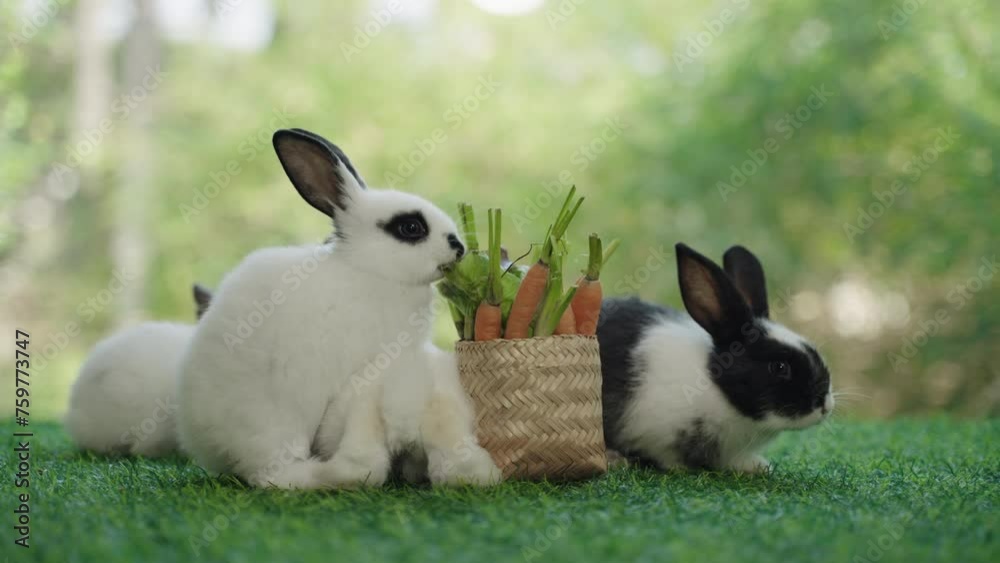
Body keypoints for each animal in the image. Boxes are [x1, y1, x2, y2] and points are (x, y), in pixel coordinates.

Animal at [598, 243, 833, 473]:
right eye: (780, 367)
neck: (714, 387)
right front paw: (679, 468)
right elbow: (666, 456)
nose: (825, 405)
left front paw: (758, 466)